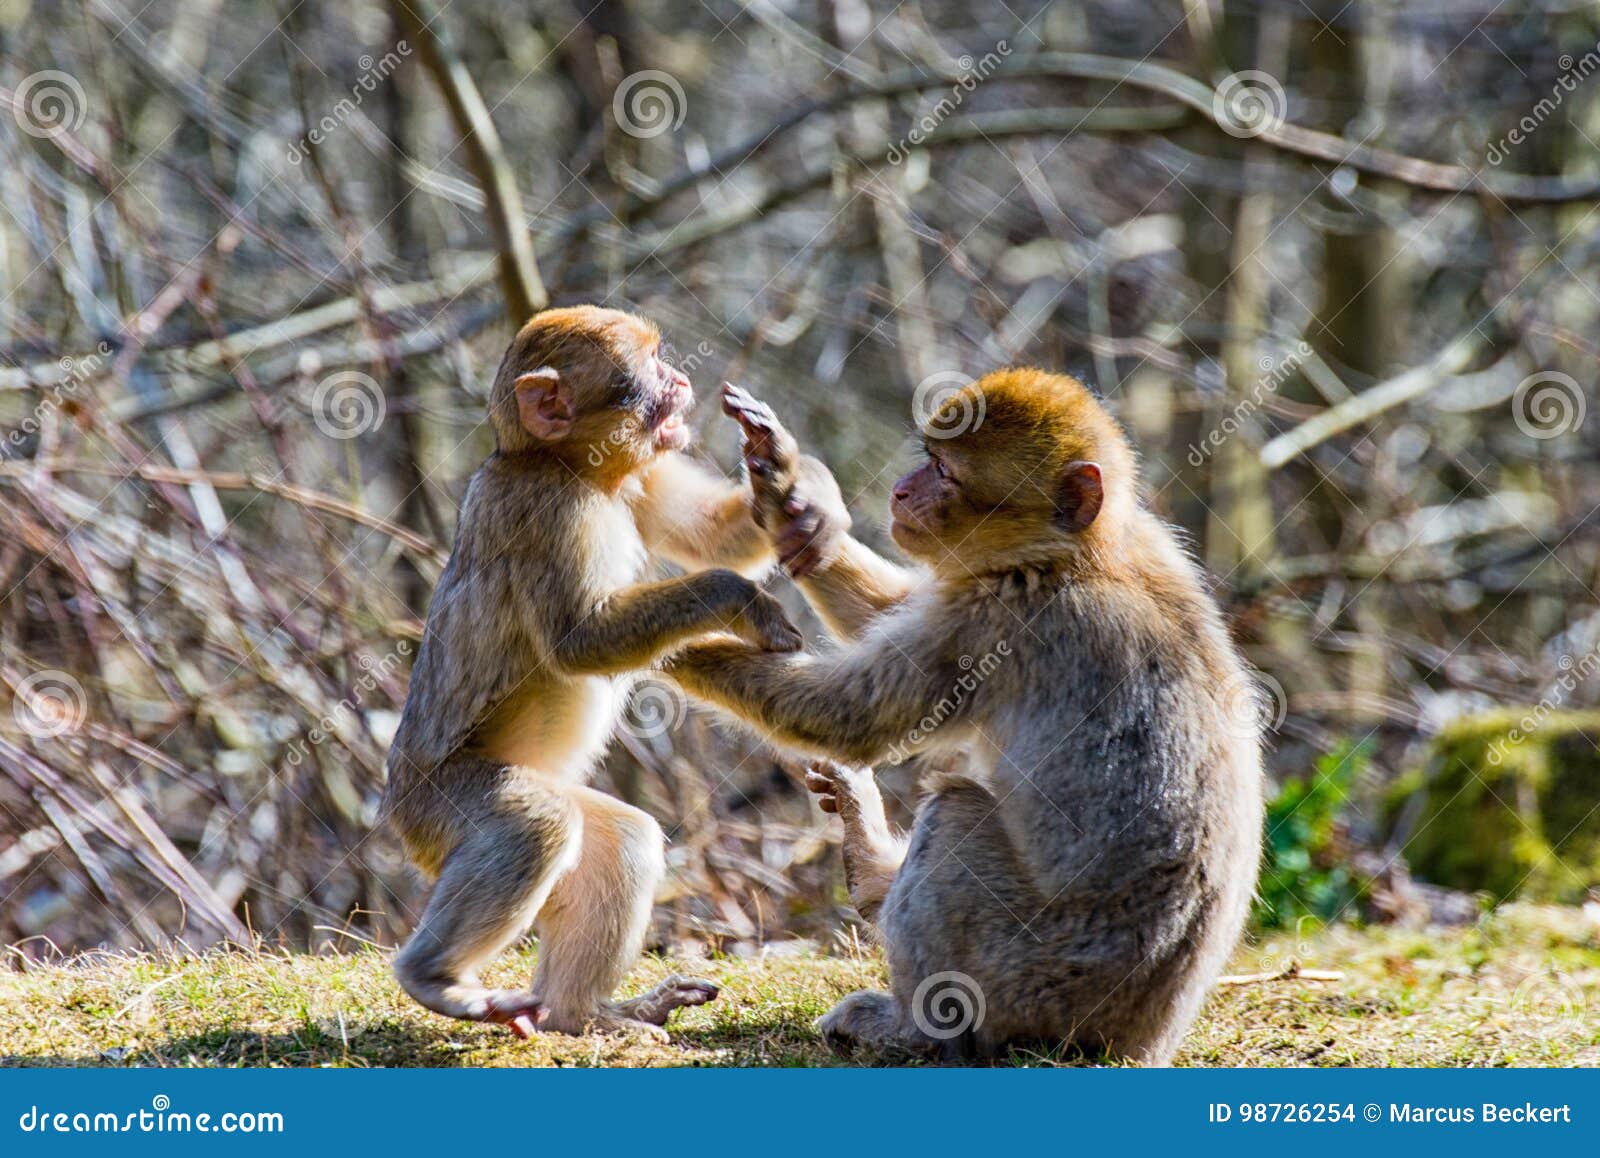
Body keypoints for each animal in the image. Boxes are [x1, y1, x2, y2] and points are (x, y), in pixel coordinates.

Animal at [382, 305, 802, 1040]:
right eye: (652, 369)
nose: (681, 380)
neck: (572, 468)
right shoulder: (549, 512)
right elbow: (579, 644)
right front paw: (742, 602)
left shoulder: (638, 480)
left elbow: (718, 537)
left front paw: (774, 460)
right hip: (437, 808)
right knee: (537, 823)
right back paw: (435, 978)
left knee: (621, 841)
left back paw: (581, 1015)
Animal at [668, 371, 1264, 1064]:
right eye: (927, 459)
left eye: (945, 473)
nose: (901, 491)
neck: (1080, 554)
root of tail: (1140, 1039)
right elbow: (893, 610)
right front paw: (792, 502)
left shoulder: (999, 620)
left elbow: (854, 713)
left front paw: (664, 646)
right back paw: (872, 866)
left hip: (1031, 981)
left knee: (955, 811)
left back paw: (912, 1024)